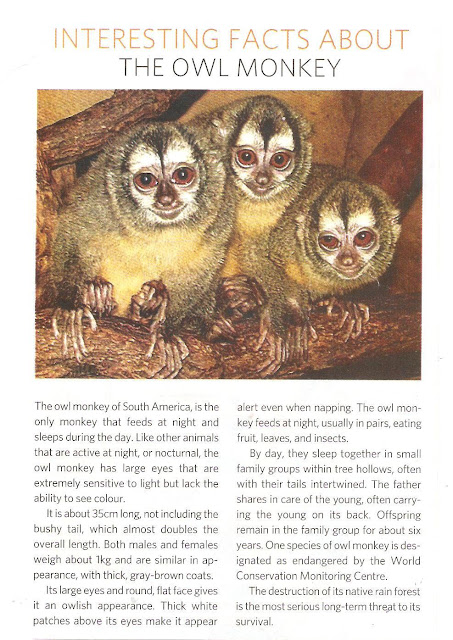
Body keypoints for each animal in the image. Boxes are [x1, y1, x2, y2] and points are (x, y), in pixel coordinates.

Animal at [50, 120, 232, 378]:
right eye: (146, 180)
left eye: (182, 175)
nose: (166, 199)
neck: (159, 228)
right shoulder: (98, 199)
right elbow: (72, 229)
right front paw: (70, 306)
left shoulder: (221, 216)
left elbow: (202, 268)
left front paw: (167, 330)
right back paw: (98, 296)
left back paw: (147, 305)